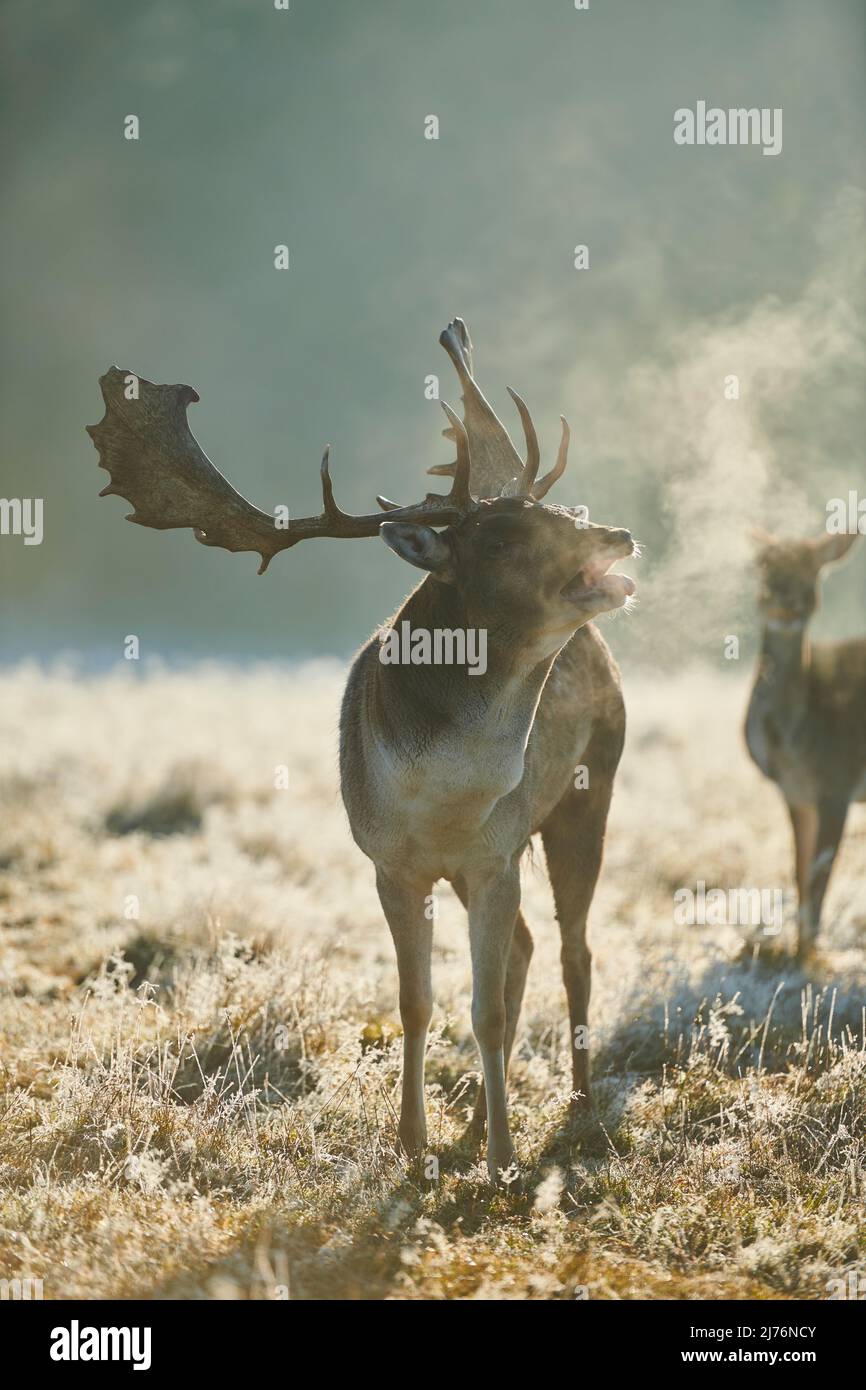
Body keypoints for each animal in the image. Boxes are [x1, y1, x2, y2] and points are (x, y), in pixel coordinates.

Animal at [86, 317, 637, 1180]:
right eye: (503, 537)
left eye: (558, 512)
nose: (615, 533)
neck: (442, 800)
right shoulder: (389, 862)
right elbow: (416, 1003)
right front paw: (414, 1143)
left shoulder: (494, 853)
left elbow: (482, 1009)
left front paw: (502, 1158)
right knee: (528, 946)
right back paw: (478, 1120)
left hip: (590, 789)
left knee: (572, 948)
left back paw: (575, 1104)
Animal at [745, 527, 865, 955]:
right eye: (763, 565)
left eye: (813, 569)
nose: (787, 602)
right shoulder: (794, 792)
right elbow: (798, 871)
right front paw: (799, 949)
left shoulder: (839, 784)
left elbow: (819, 875)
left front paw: (810, 957)